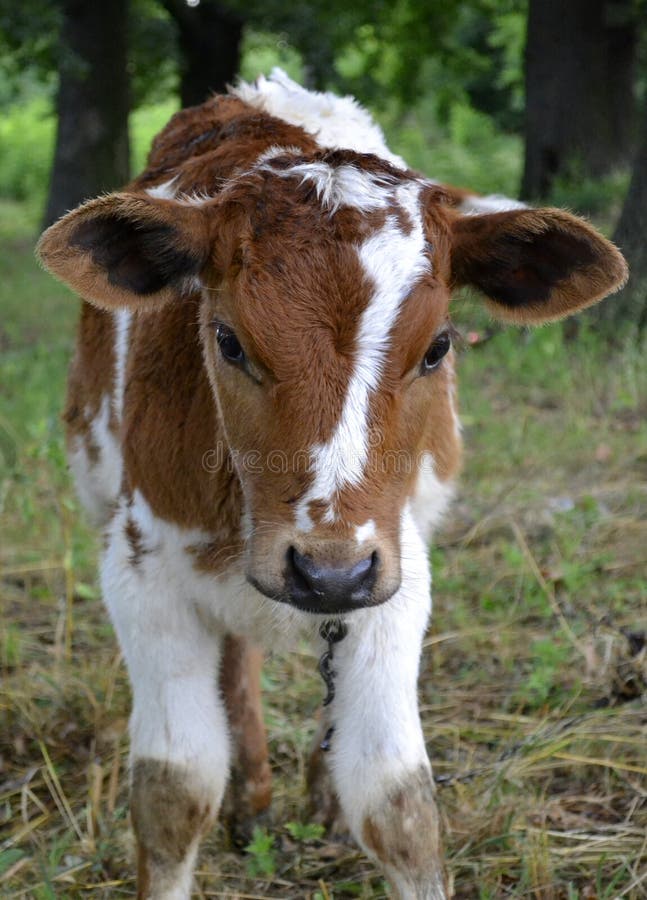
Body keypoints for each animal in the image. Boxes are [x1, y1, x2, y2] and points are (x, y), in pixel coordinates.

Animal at [37, 69, 627, 900]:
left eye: (437, 347)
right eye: (228, 340)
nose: (326, 571)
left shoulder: (394, 572)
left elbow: (396, 801)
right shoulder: (140, 567)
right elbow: (173, 788)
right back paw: (253, 797)